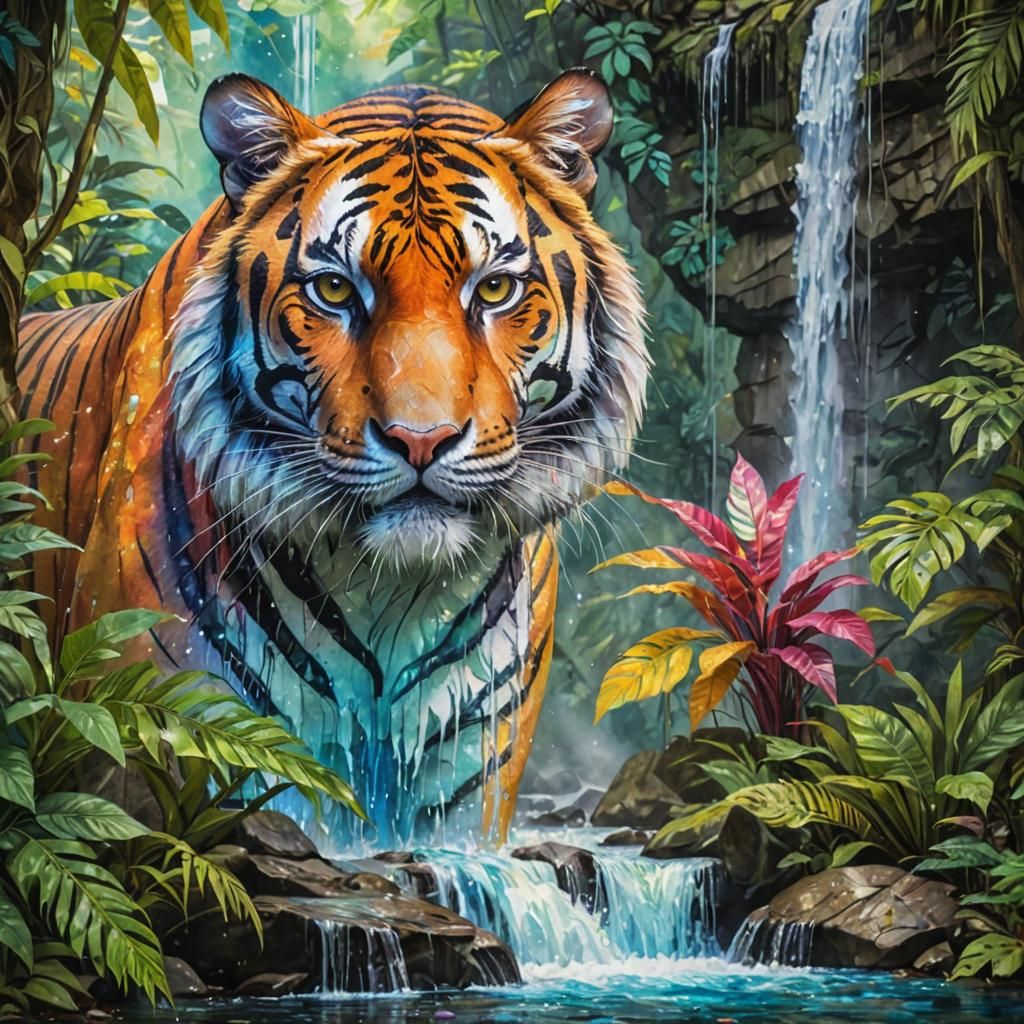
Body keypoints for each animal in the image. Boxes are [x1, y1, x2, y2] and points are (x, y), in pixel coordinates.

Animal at [17, 69, 648, 847]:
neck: (391, 593)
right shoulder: (168, 722)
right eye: (336, 289)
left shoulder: (467, 790)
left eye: (495, 289)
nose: (420, 438)